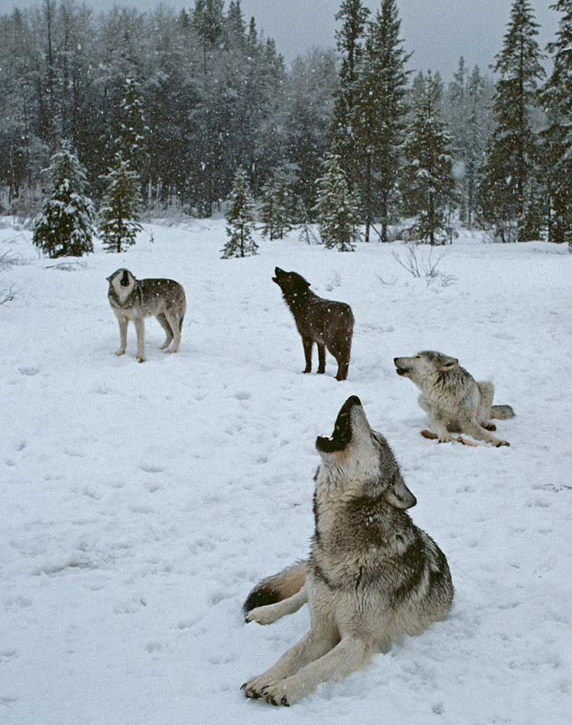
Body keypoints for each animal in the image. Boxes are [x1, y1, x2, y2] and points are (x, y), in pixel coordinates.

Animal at [241, 396, 453, 706]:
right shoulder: (321, 630)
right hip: (314, 583)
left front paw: (283, 689)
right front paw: (262, 679)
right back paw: (264, 613)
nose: (354, 397)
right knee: (299, 594)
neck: (340, 551)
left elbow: (315, 668)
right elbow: (290, 654)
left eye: (376, 439)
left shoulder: (357, 641)